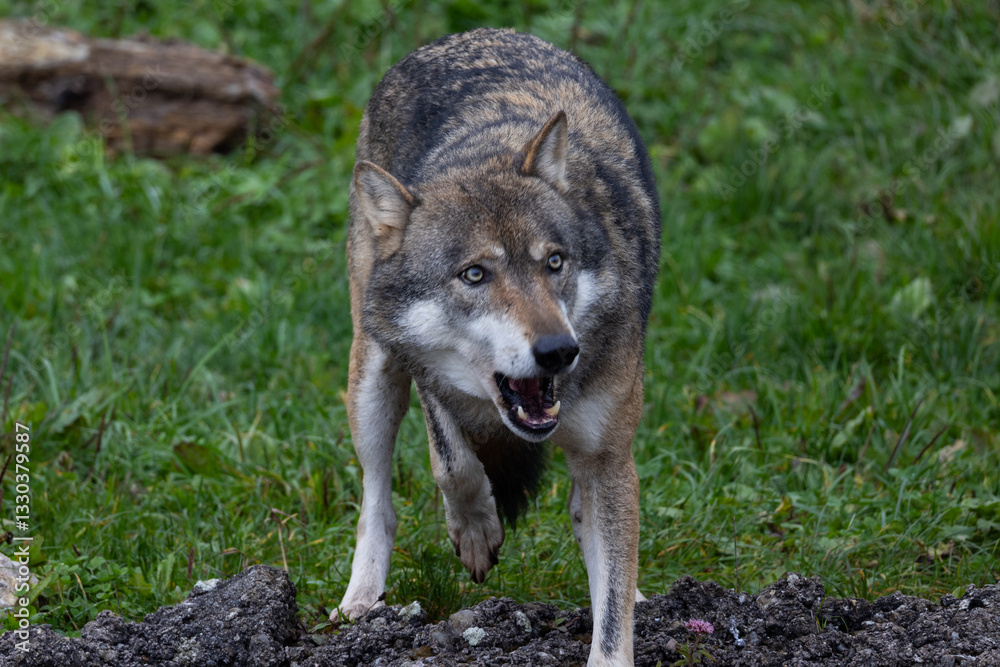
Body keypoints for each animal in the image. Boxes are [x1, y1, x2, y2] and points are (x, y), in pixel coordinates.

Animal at [336, 28, 660, 666]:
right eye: (475, 275)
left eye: (553, 262)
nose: (560, 350)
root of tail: (467, 35)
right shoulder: (422, 366)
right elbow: (452, 464)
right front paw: (476, 530)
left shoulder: (609, 457)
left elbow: (613, 604)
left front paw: (620, 610)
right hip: (373, 373)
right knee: (377, 497)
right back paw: (360, 598)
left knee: (587, 521)